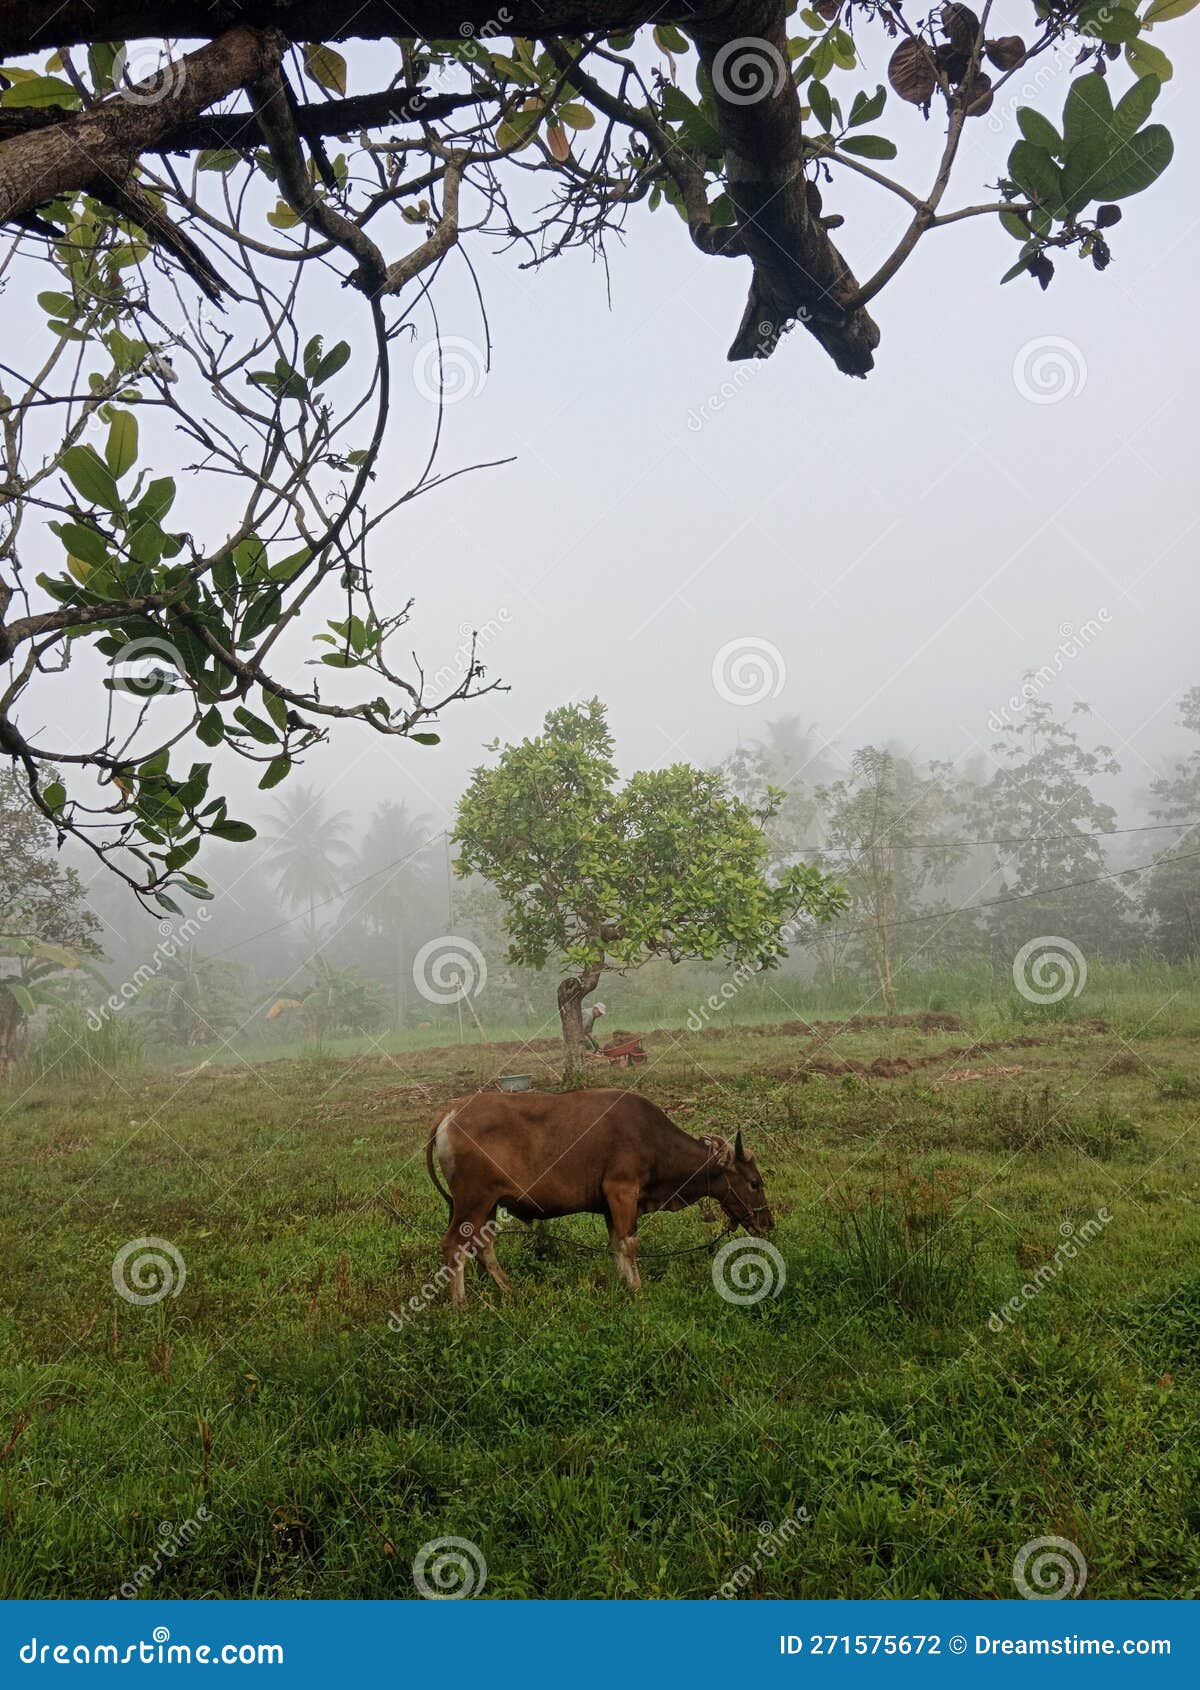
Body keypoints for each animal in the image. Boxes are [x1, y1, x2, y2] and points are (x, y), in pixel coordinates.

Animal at [424, 1087, 773, 1304]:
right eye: (755, 1183)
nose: (768, 1223)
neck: (653, 1139)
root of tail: (450, 1112)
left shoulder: (610, 1205)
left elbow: (617, 1245)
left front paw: (625, 1284)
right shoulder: (622, 1191)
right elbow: (630, 1244)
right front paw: (638, 1290)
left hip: (488, 1204)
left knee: (483, 1247)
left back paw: (511, 1290)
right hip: (473, 1200)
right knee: (453, 1246)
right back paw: (461, 1304)